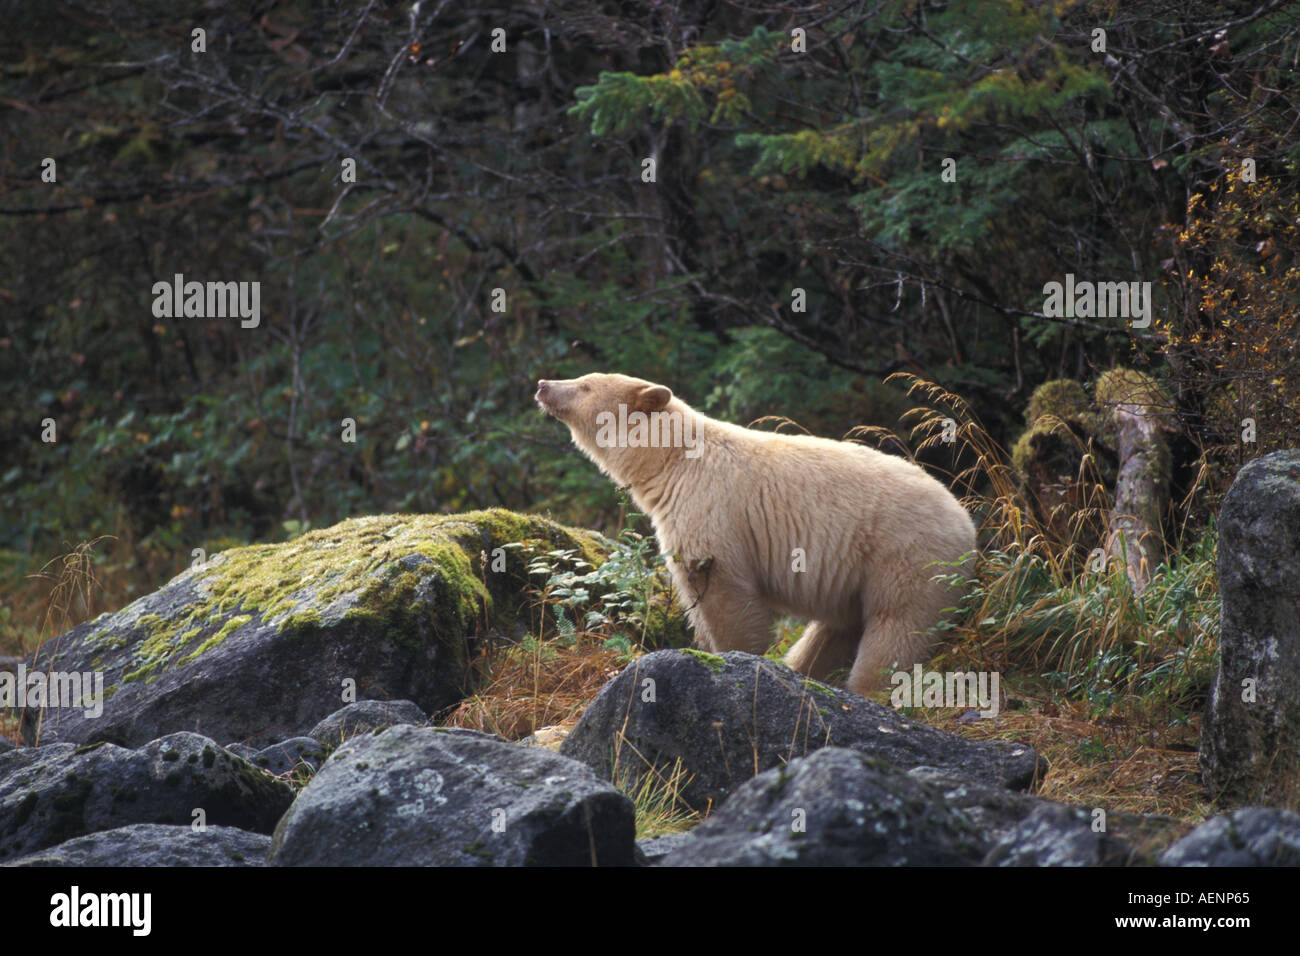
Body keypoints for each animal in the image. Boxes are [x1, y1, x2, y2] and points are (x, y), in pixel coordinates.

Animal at [535, 372, 977, 695]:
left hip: (909, 555)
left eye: (586, 384)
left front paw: (733, 659)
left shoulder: (711, 506)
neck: (673, 460)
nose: (543, 385)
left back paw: (867, 687)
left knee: (896, 626)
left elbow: (721, 587)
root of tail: (967, 524)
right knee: (833, 633)